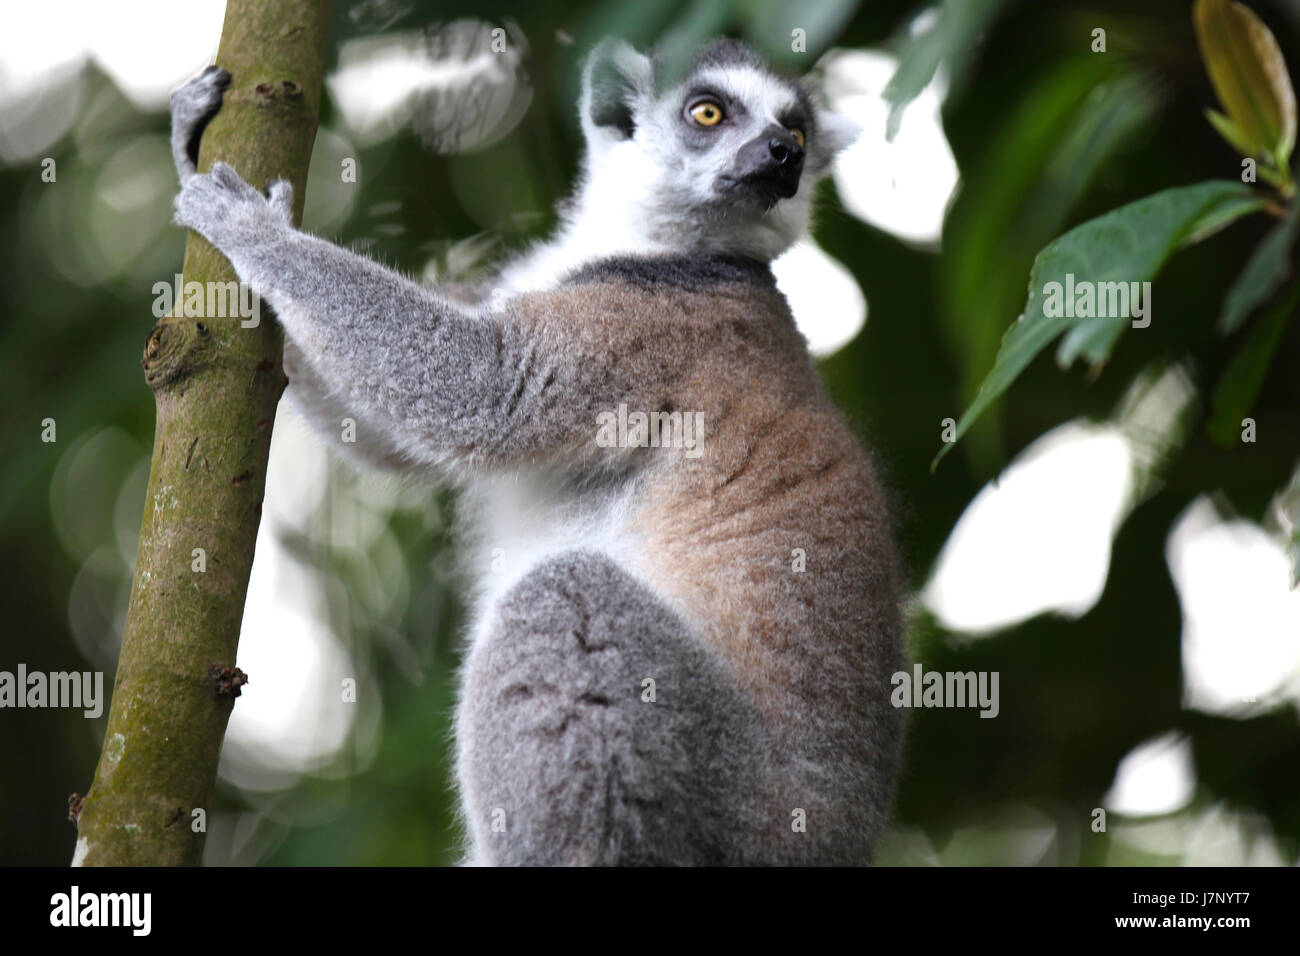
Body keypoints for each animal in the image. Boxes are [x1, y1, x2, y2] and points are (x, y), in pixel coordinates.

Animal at [169, 37, 906, 865]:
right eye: (709, 113)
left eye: (797, 132)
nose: (783, 154)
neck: (650, 246)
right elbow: (392, 437)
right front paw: (188, 146)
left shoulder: (654, 330)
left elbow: (486, 386)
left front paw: (253, 230)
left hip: (722, 791)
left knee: (565, 601)